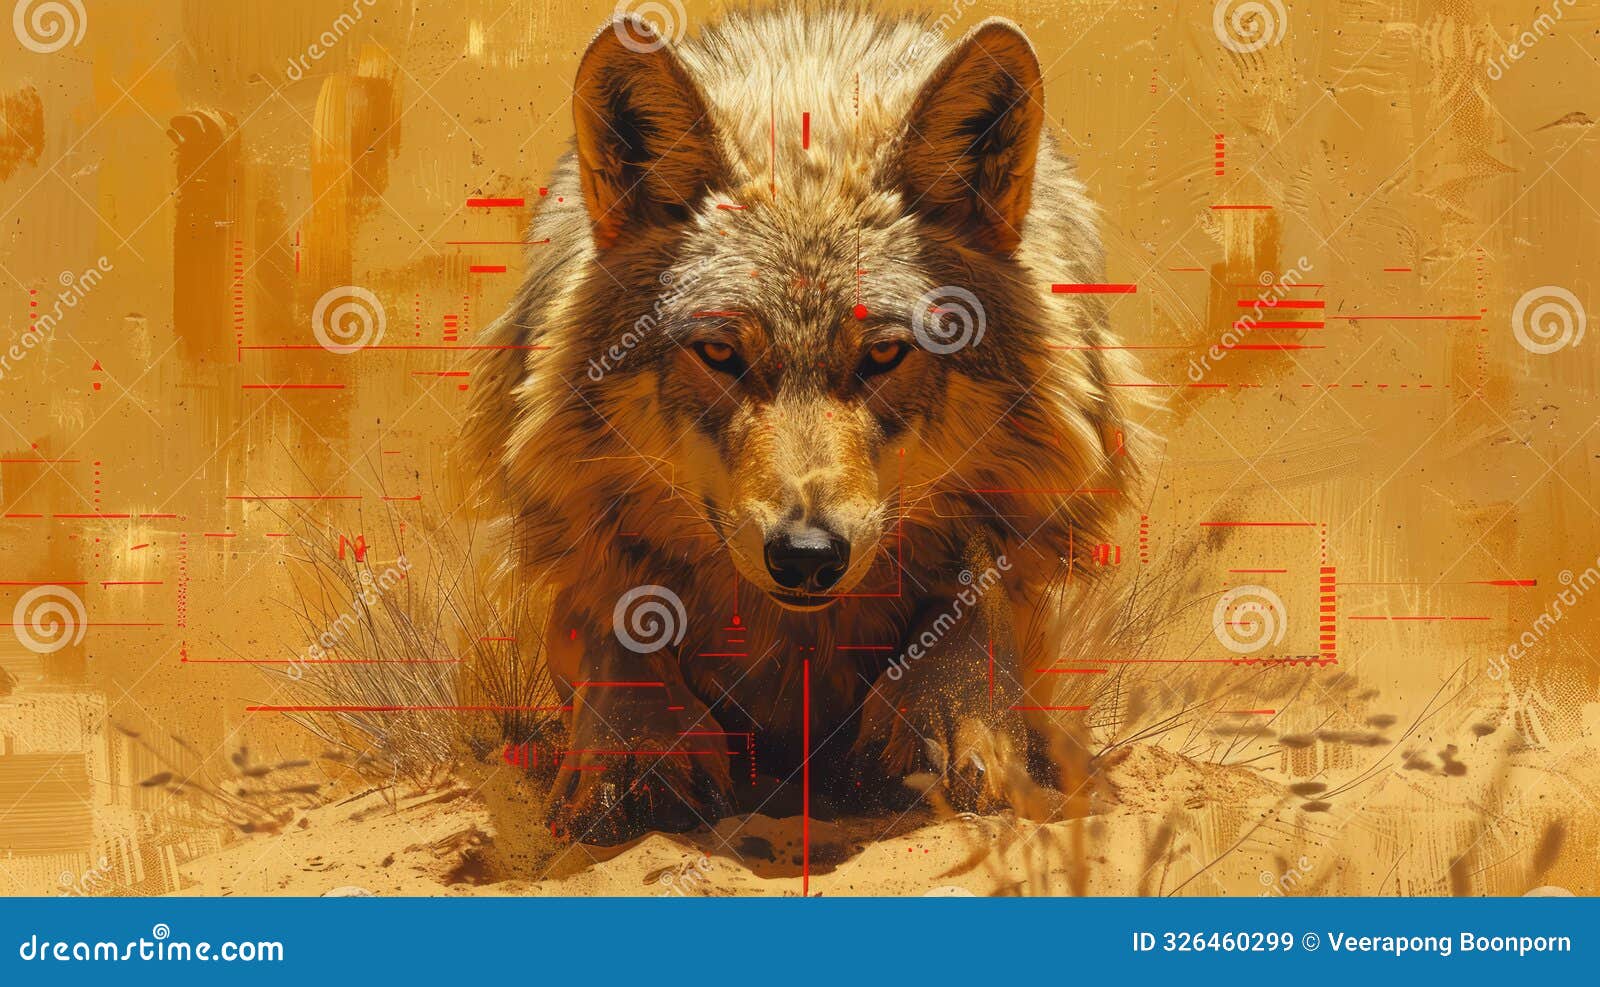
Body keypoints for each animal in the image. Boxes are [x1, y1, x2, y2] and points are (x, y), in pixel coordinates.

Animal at [464, 4, 1140, 844]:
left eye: (884, 354)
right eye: (720, 352)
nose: (807, 555)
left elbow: (974, 608)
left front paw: (950, 731)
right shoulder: (584, 537)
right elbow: (613, 620)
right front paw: (633, 752)